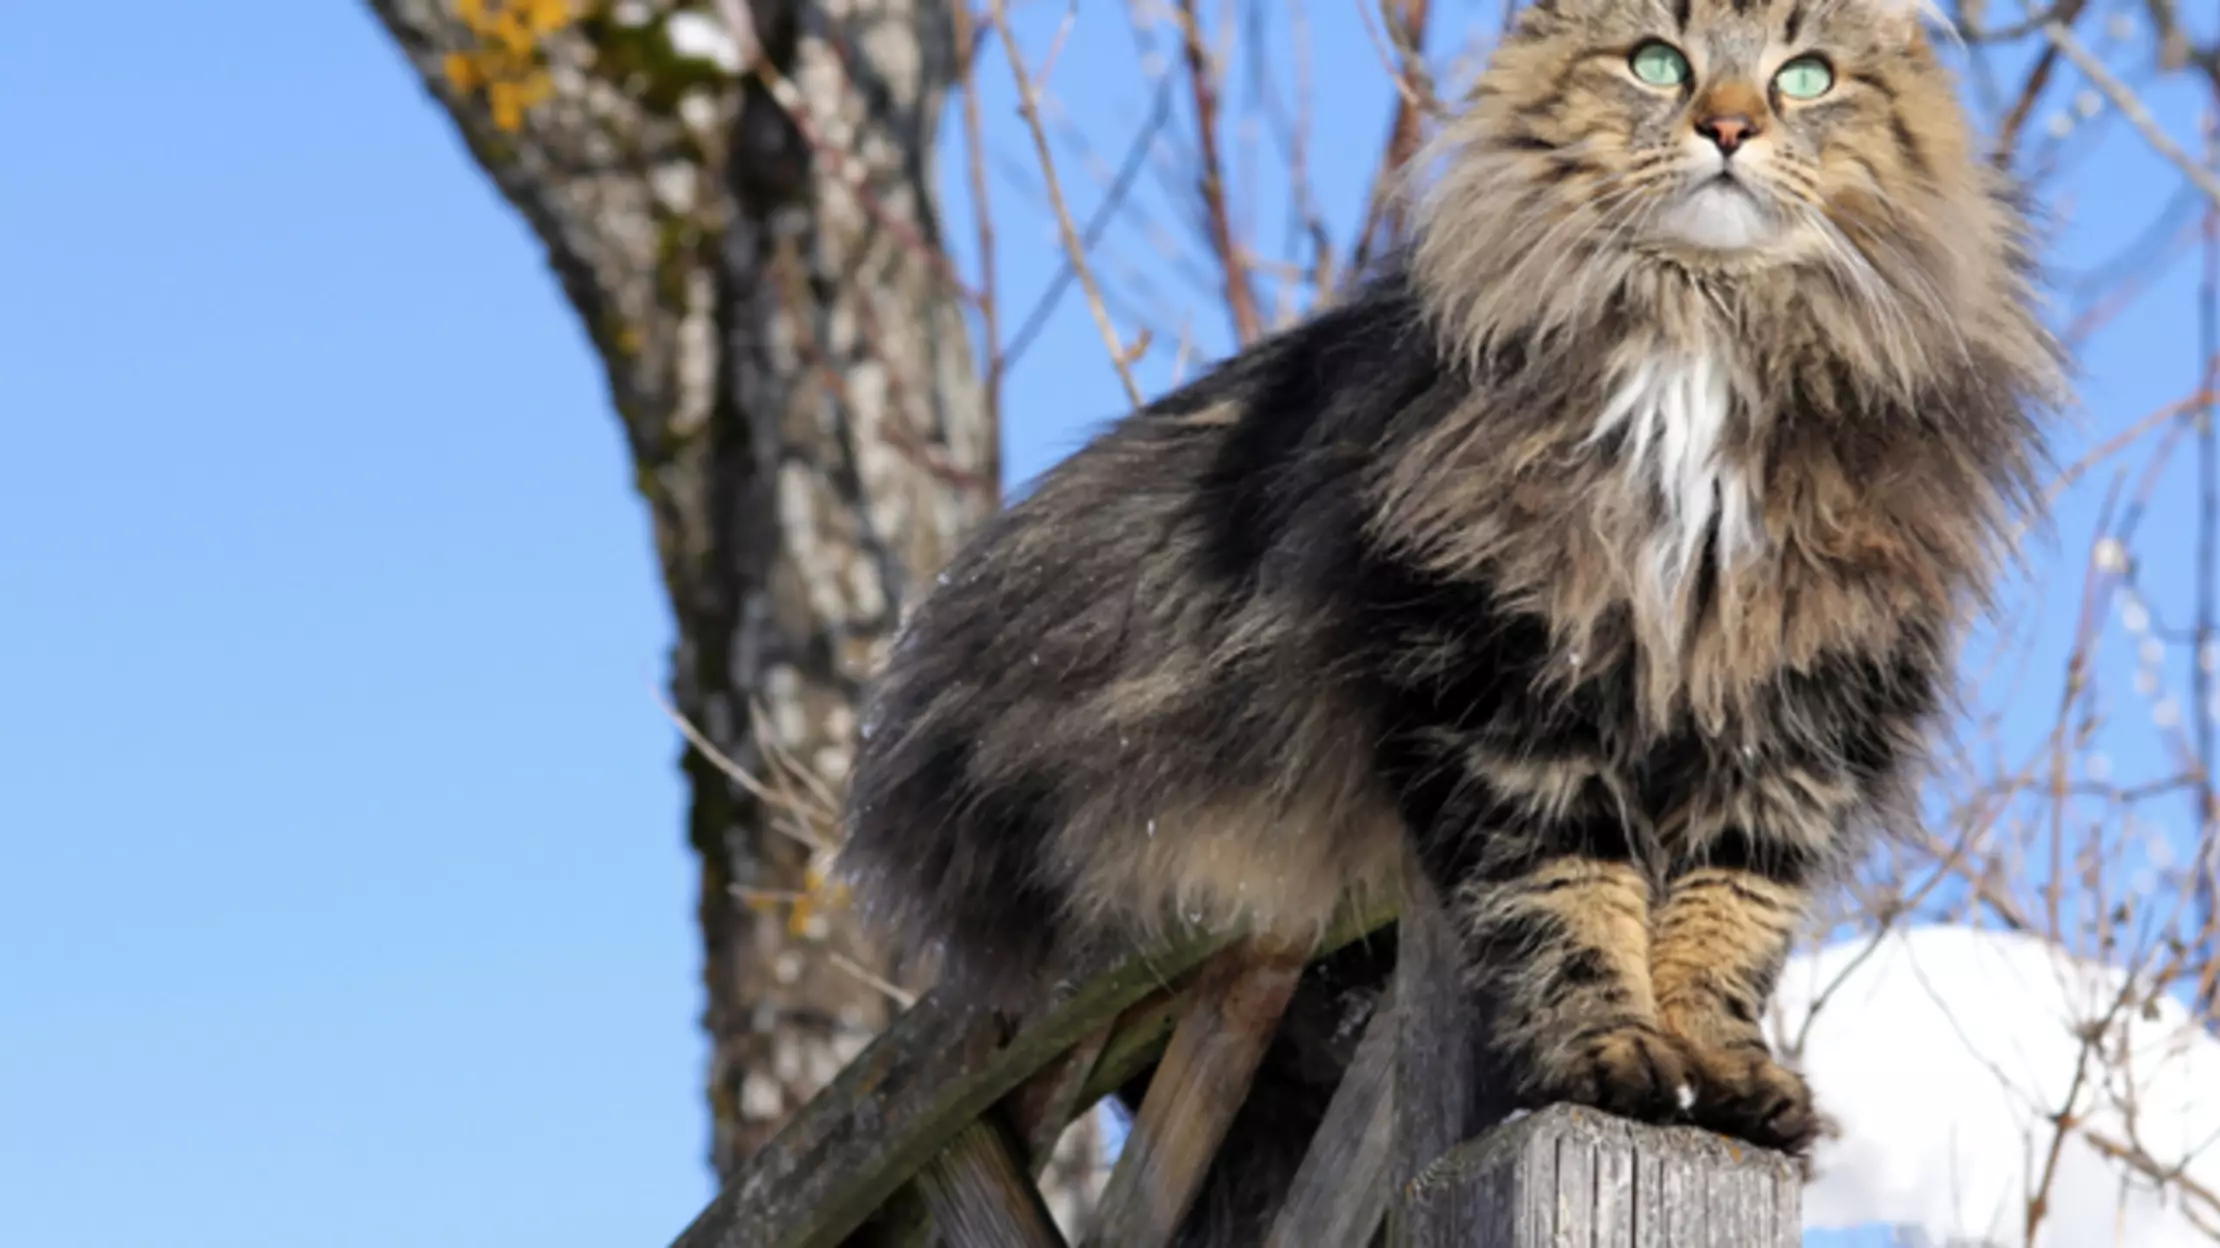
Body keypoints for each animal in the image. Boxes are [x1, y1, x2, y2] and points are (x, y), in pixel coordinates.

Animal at [834, 0, 2060, 1199]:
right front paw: (1613, 1057)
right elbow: (1573, 904)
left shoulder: (1791, 725)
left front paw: (1726, 1080)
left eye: (1804, 78)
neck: (1700, 334)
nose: (1727, 126)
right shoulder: (1508, 693)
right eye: (1659, 62)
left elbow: (1725, 926)